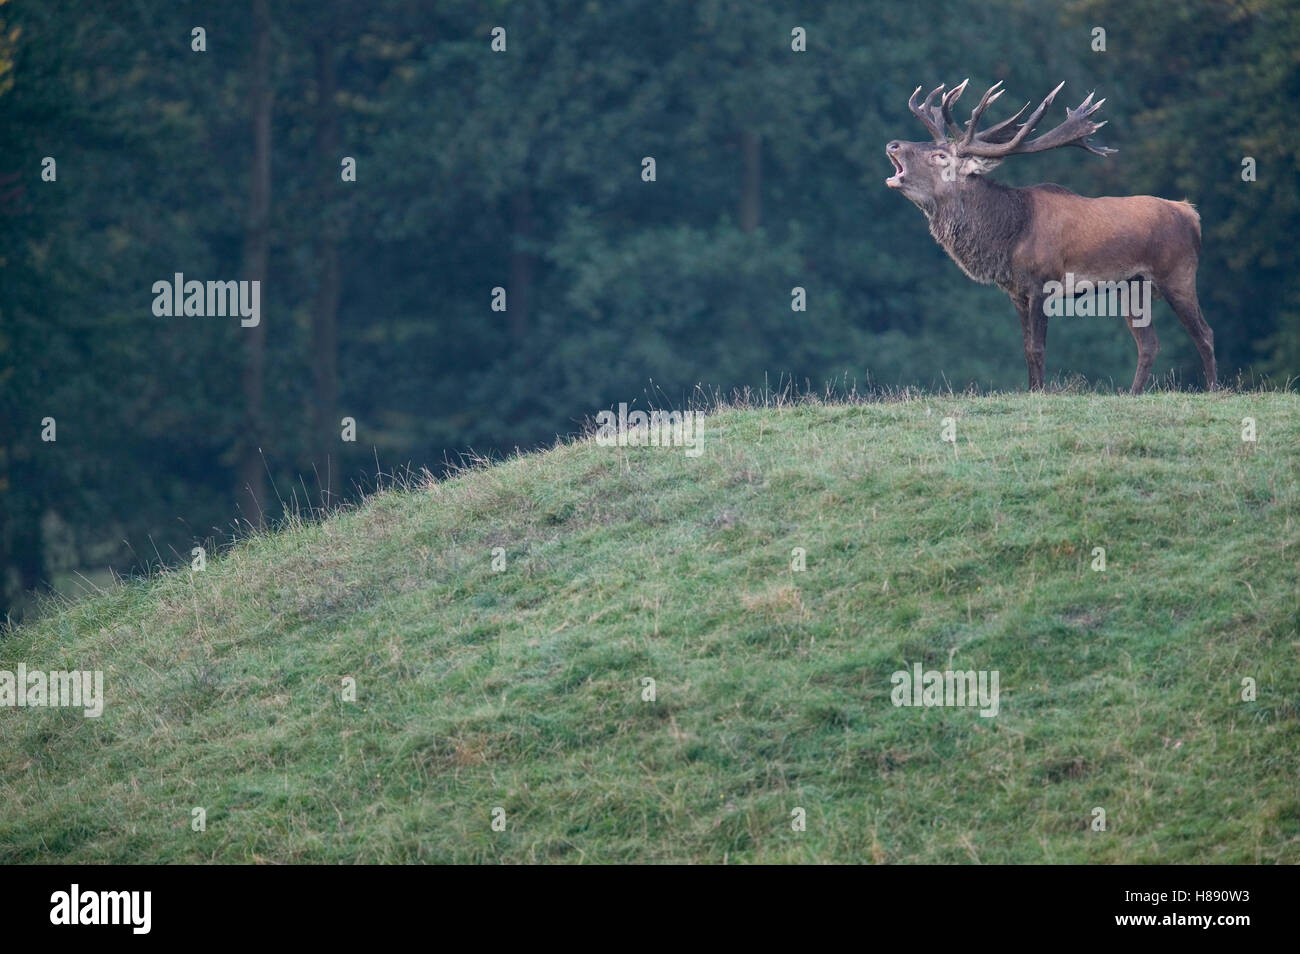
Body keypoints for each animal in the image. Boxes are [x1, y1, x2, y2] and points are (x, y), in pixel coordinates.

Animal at [885, 80, 1217, 393]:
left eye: (940, 155)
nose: (893, 144)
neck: (1009, 234)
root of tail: (1191, 213)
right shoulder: (1016, 291)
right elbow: (1025, 349)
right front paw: (1032, 390)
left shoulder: (1042, 282)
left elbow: (1037, 348)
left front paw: (1039, 392)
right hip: (1132, 285)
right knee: (1148, 343)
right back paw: (1132, 394)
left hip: (1178, 274)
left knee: (1204, 333)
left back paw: (1213, 389)